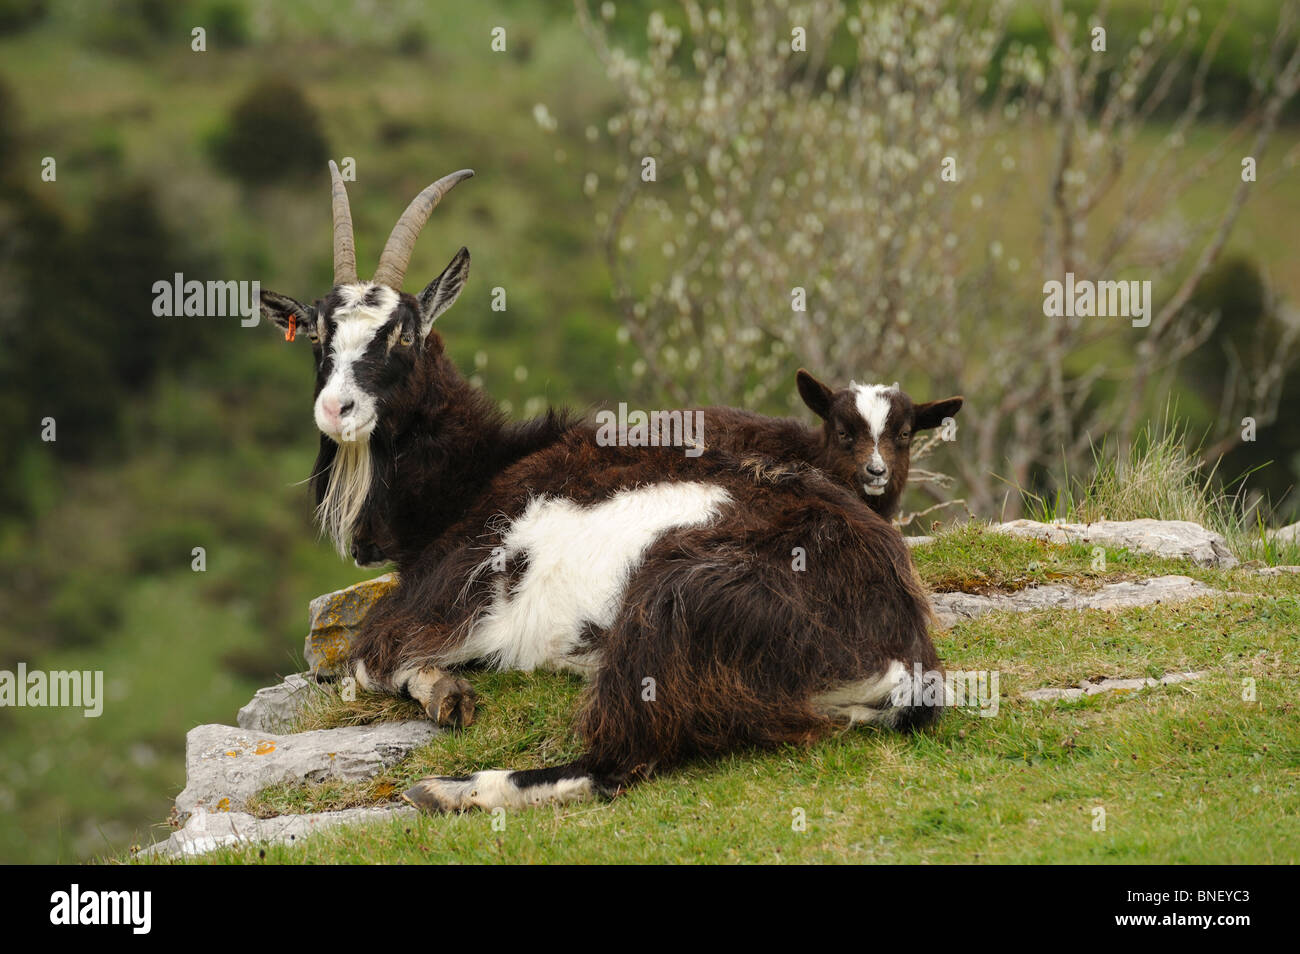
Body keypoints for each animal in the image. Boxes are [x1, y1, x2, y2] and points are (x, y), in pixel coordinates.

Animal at [259, 164, 944, 811]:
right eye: (317, 334)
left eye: (403, 332)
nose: (336, 409)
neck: (479, 474)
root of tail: (901, 652)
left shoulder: (446, 592)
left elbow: (364, 662)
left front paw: (447, 693)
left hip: (672, 609)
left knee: (615, 762)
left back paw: (454, 789)